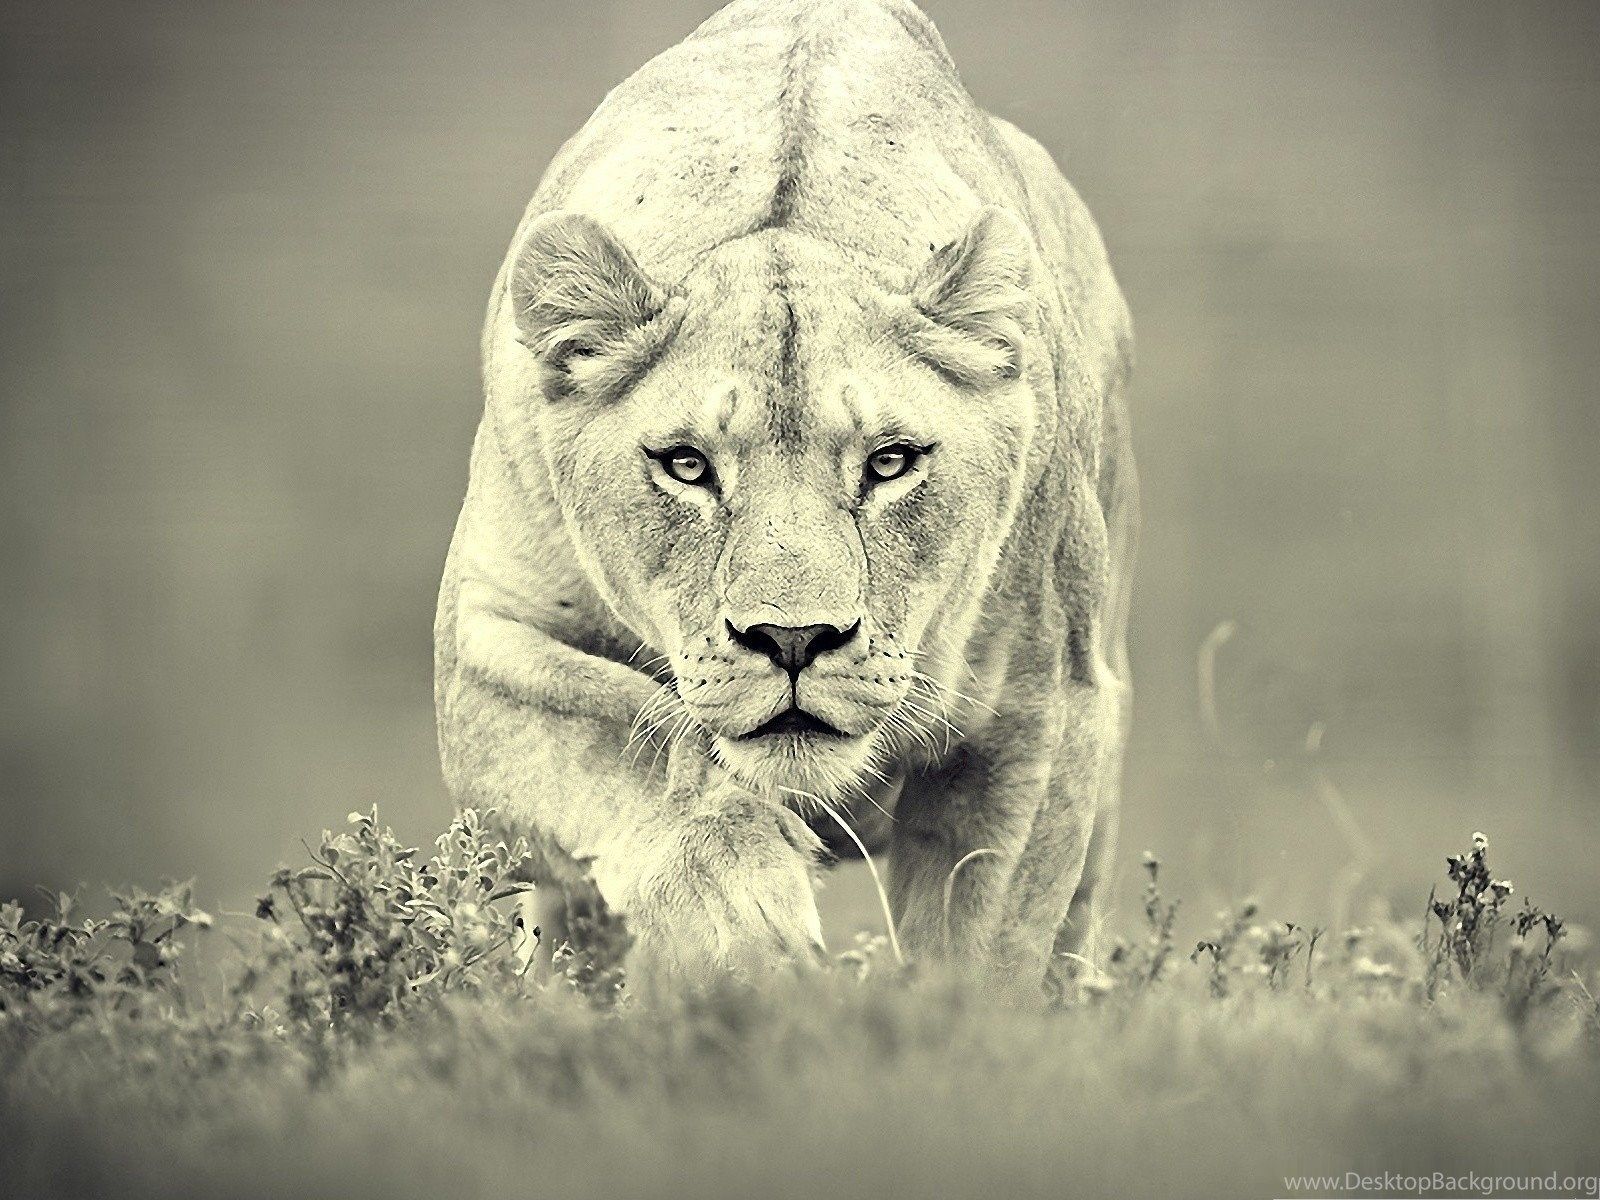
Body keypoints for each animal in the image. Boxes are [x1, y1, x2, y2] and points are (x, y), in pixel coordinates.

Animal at [434, 0, 1137, 996]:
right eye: (687, 466)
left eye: (890, 462)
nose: (794, 639)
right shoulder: (484, 646)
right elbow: (636, 739)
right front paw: (747, 928)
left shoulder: (1043, 713)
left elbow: (984, 950)